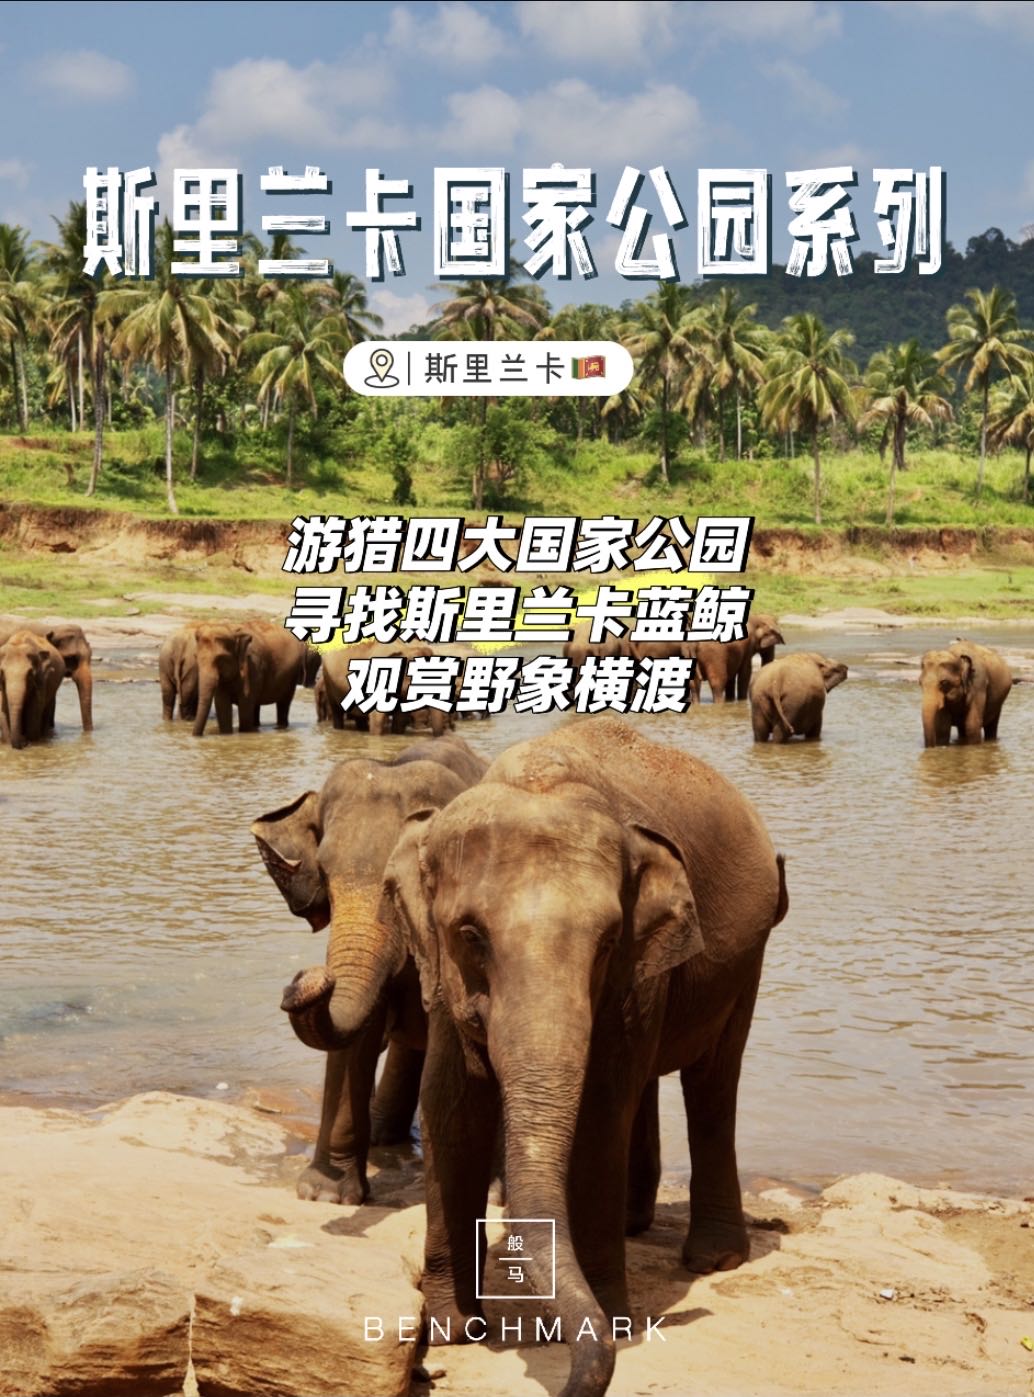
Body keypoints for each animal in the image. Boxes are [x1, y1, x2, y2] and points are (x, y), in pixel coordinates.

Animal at [252, 736, 487, 1204]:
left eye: (399, 884)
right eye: (324, 874)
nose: (306, 975)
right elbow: (355, 1038)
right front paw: (325, 1195)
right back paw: (383, 1139)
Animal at [382, 716, 788, 1397]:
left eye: (606, 941)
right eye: (470, 935)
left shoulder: (636, 969)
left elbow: (601, 1110)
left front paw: (613, 1320)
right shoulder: (438, 971)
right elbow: (450, 1108)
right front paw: (453, 1328)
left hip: (747, 956)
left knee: (712, 1081)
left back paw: (714, 1258)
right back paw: (635, 1225)